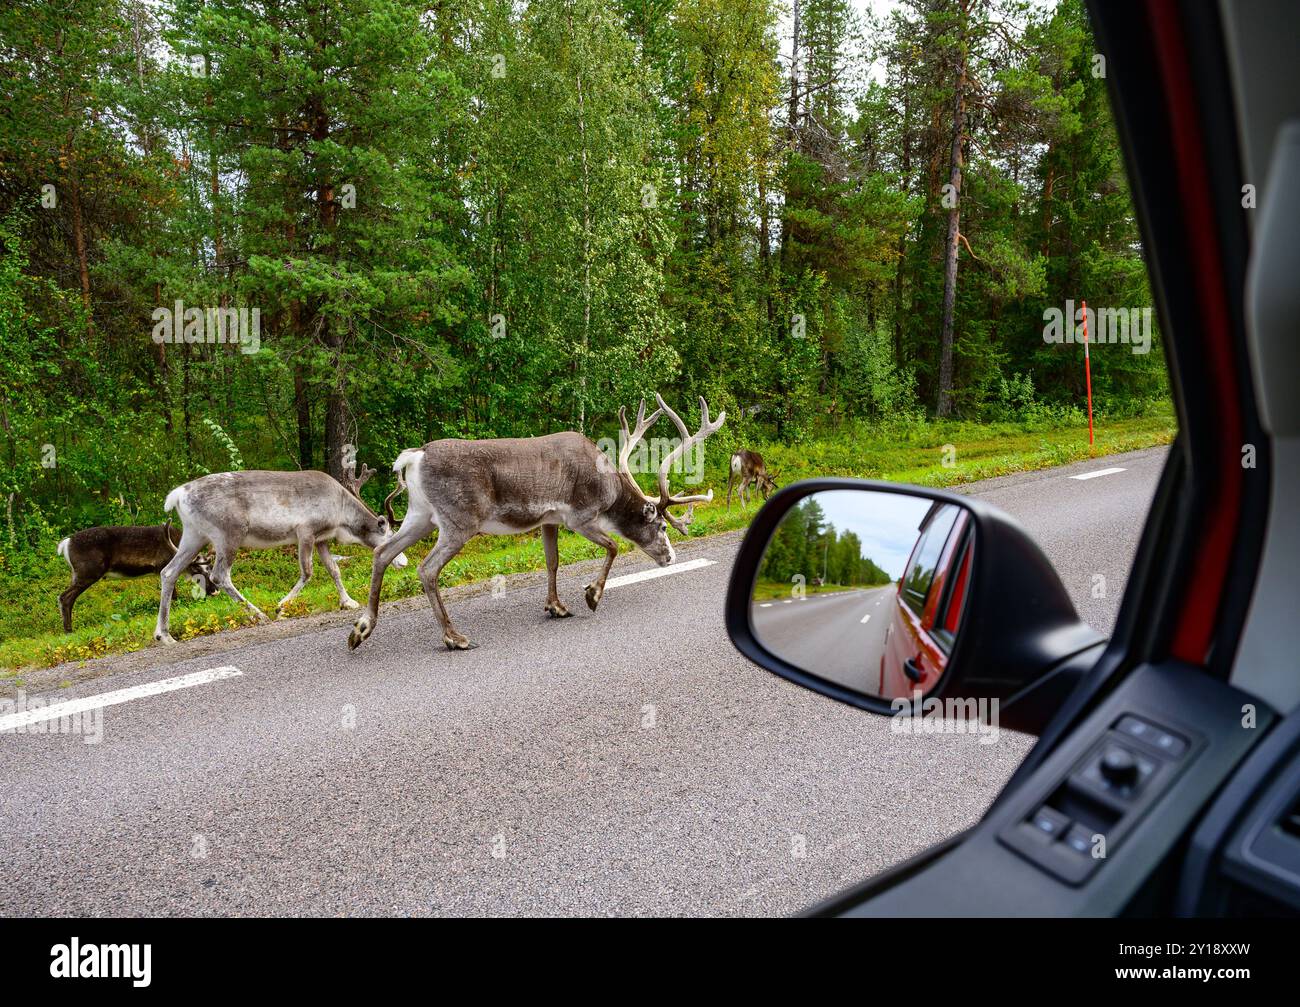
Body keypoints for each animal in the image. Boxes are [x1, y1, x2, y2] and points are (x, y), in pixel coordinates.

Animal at [57, 521, 219, 633]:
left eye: (210, 568)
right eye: (197, 569)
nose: (215, 590)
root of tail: (65, 544)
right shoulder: (163, 567)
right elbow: (172, 594)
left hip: (78, 574)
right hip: (88, 572)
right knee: (65, 597)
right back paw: (69, 630)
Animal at [153, 461, 409, 645]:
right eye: (390, 534)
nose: (404, 562)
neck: (342, 518)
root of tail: (178, 495)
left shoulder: (321, 539)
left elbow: (333, 569)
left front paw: (348, 601)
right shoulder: (305, 531)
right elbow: (308, 571)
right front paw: (281, 606)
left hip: (194, 535)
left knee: (169, 572)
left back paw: (164, 635)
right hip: (229, 533)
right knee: (219, 575)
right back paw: (259, 615)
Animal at [347, 392, 725, 652]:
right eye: (662, 527)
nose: (671, 557)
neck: (610, 493)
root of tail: (414, 457)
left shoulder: (549, 520)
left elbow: (552, 561)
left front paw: (556, 607)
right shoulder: (580, 516)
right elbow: (614, 546)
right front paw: (592, 595)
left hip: (420, 514)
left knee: (382, 552)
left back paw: (361, 629)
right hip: (459, 520)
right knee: (426, 568)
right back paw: (454, 637)